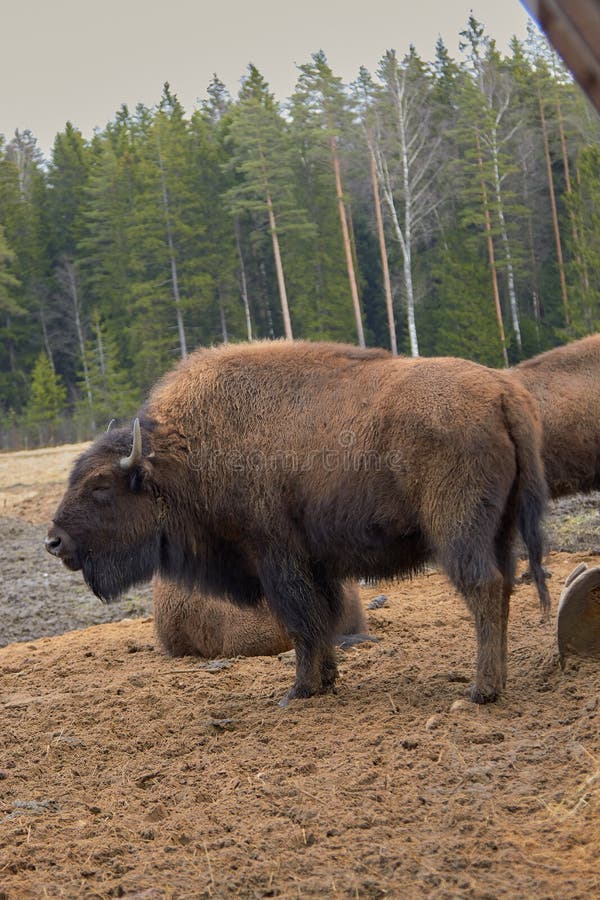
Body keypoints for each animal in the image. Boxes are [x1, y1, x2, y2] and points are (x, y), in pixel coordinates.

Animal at [46, 340, 550, 705]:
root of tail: (503, 392)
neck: (180, 456)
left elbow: (301, 620)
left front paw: (299, 691)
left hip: (459, 531)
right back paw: (496, 681)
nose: (54, 541)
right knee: (503, 587)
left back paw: (481, 691)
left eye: (100, 487)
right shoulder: (316, 563)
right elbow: (321, 618)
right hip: (501, 528)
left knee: (482, 587)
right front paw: (325, 681)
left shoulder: (276, 557)